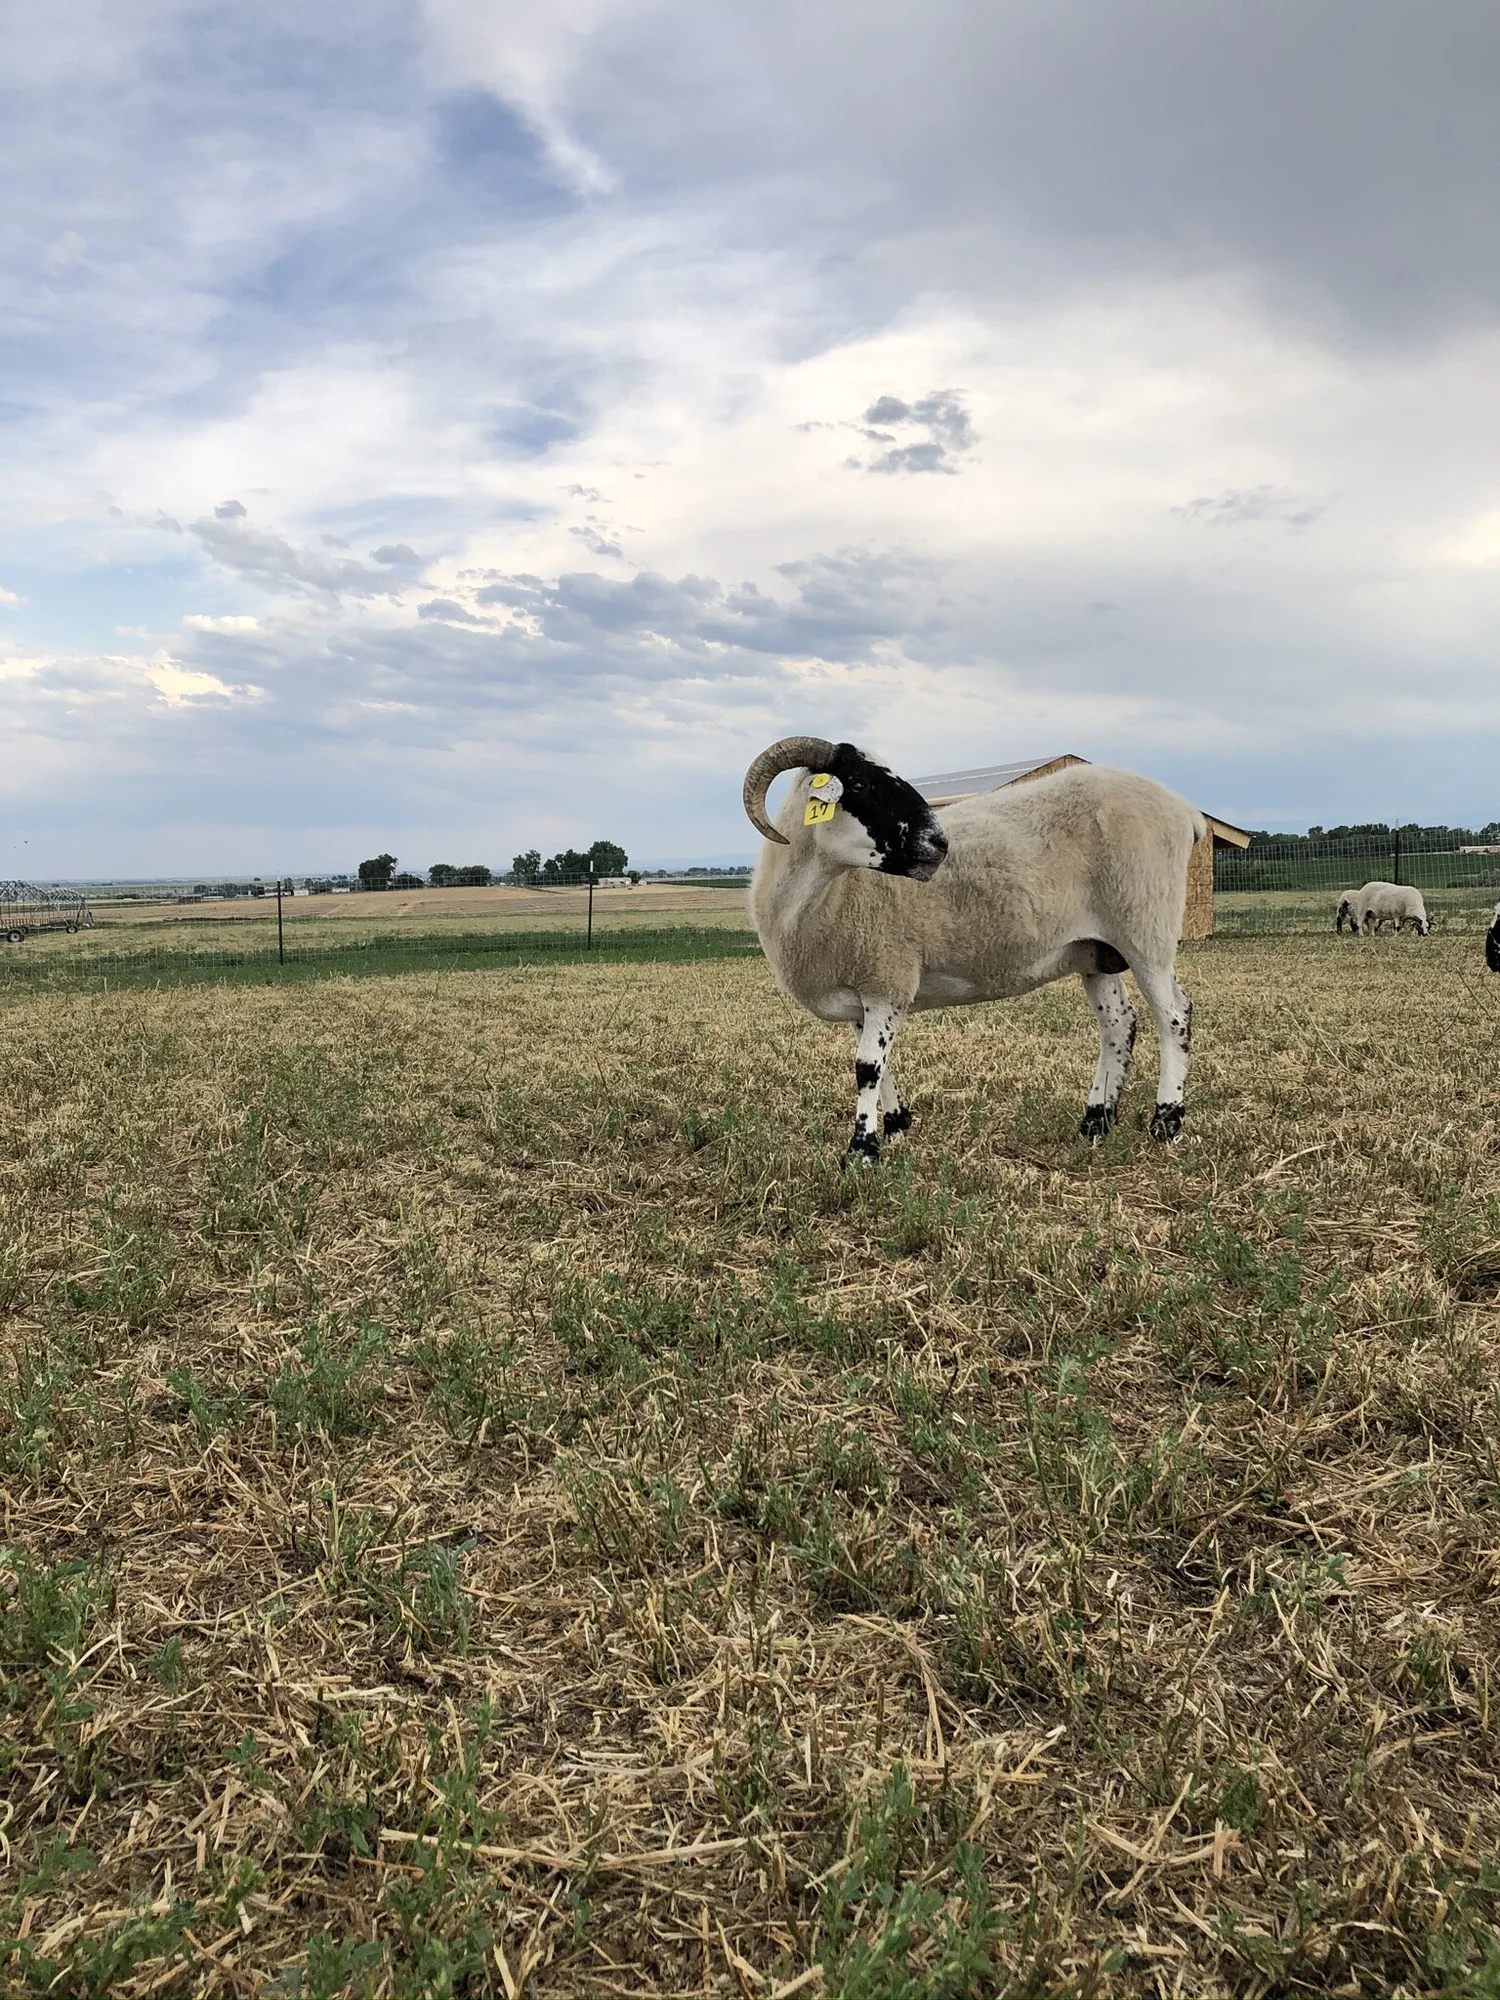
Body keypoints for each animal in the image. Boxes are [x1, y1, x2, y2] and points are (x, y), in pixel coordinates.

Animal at [743, 736, 1204, 1161]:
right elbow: (879, 1064)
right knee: (1119, 1026)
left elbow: (867, 1067)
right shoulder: (865, 992)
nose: (940, 843)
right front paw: (895, 1126)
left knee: (1174, 1016)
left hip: (1146, 930)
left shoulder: (888, 979)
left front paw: (863, 1150)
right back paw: (1096, 1121)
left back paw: (1165, 1121)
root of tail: (1185, 810)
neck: (825, 894)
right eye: (858, 783)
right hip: (1098, 952)